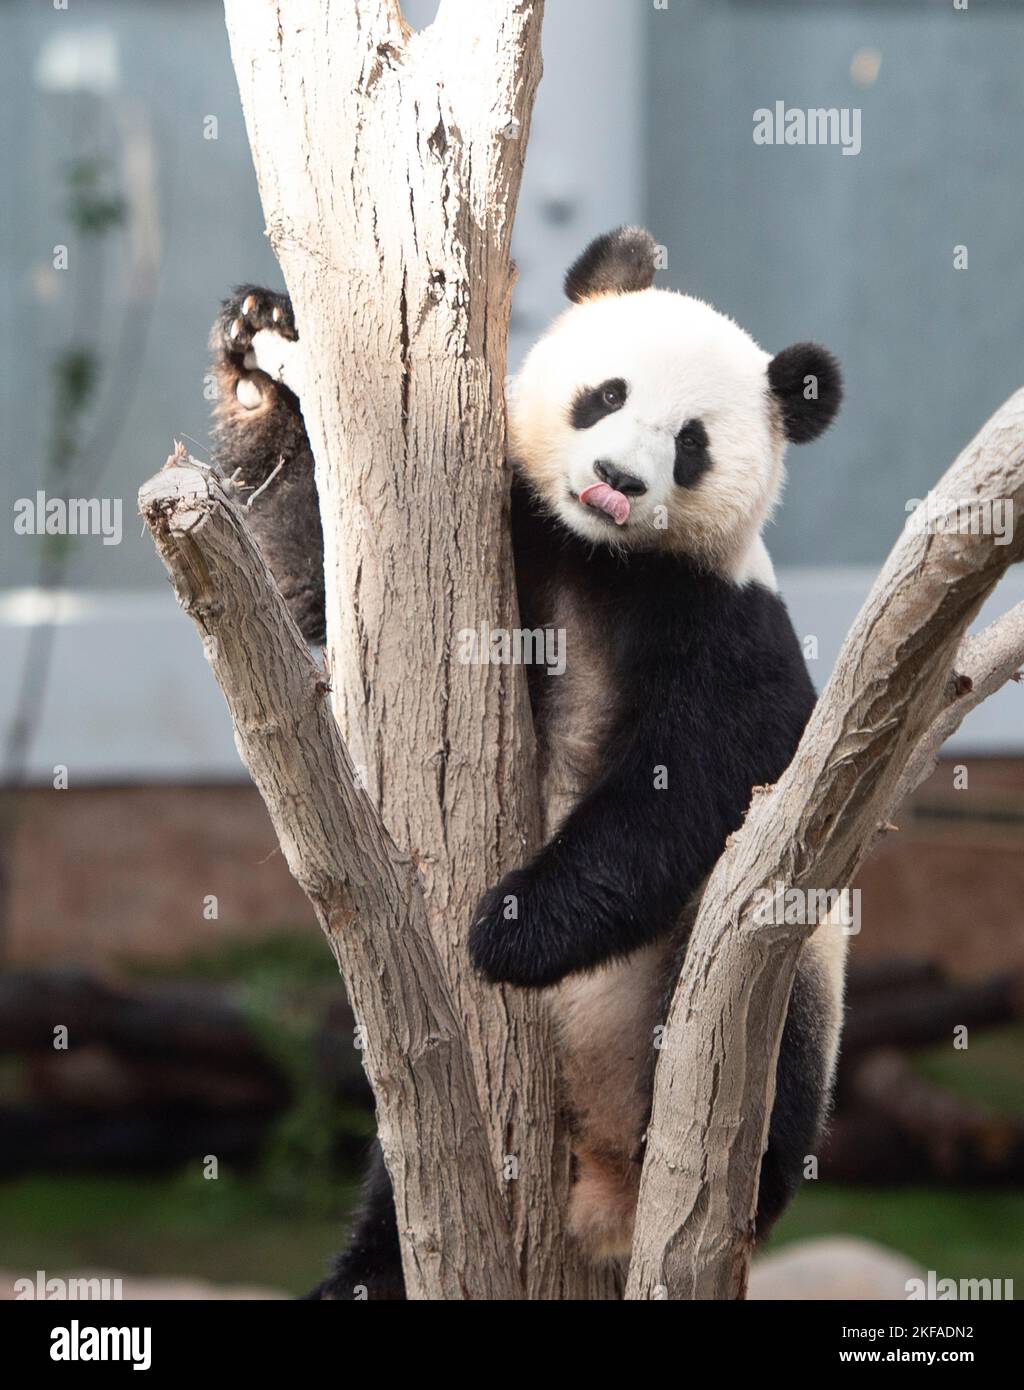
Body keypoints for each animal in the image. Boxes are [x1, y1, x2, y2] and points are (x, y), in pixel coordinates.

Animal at [209, 227, 847, 1299]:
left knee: (763, 1023)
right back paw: (362, 1275)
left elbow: (704, 776)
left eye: (691, 443)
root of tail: (603, 1190)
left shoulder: (724, 615)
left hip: (756, 983)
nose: (617, 481)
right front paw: (259, 347)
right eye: (606, 395)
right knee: (397, 1180)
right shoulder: (519, 533)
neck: (601, 560)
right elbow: (312, 589)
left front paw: (509, 931)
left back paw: (724, 1171)